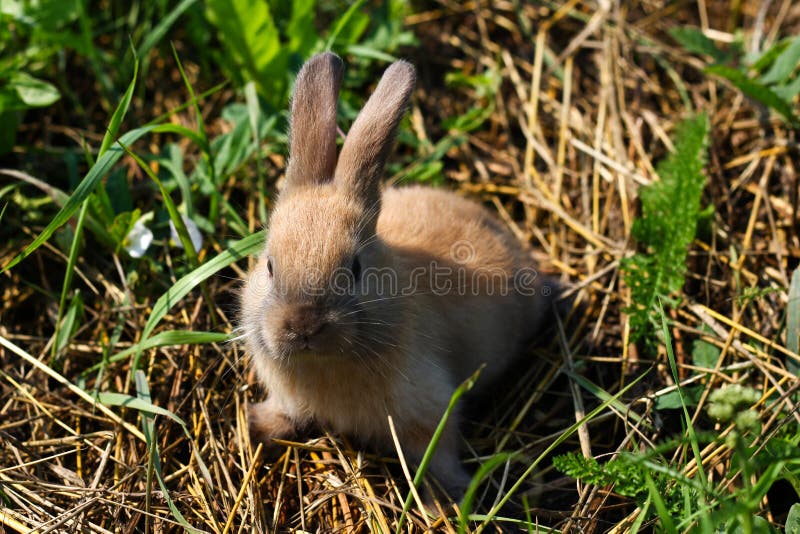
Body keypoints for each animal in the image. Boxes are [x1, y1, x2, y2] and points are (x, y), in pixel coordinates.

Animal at [241, 52, 557, 499]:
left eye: (355, 268)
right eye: (269, 265)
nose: (303, 326)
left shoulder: (430, 411)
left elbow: (437, 456)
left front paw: (448, 496)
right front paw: (257, 425)